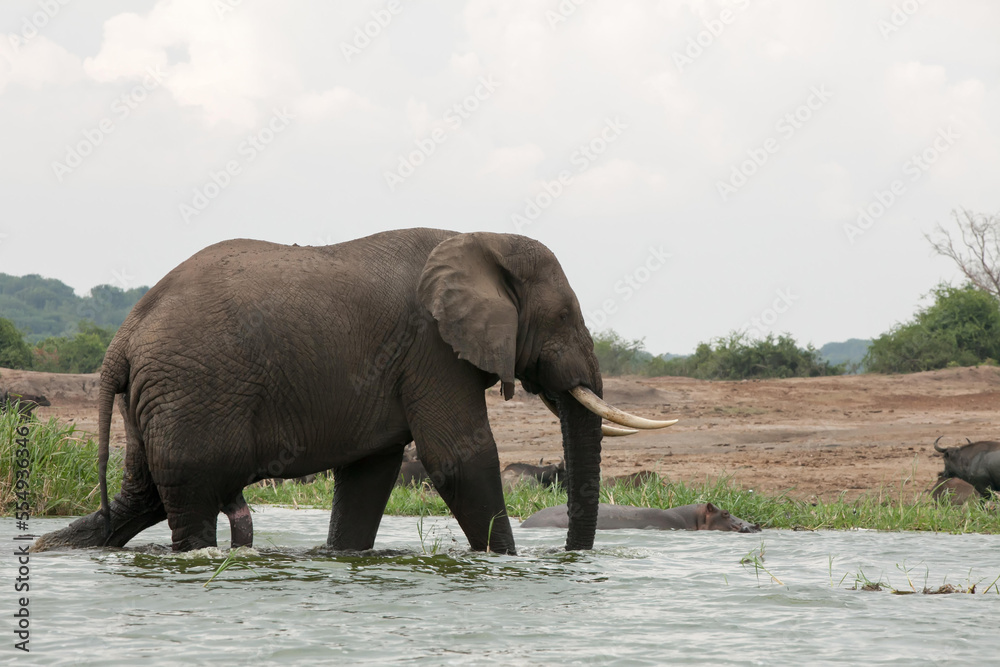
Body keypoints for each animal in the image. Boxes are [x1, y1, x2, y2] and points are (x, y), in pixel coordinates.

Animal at [33, 229, 674, 554]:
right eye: (565, 317)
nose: (571, 556)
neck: (481, 239)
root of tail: (122, 338)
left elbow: (368, 477)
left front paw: (344, 561)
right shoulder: (431, 348)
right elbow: (458, 459)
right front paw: (504, 563)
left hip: (162, 398)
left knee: (141, 498)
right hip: (191, 392)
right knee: (188, 502)